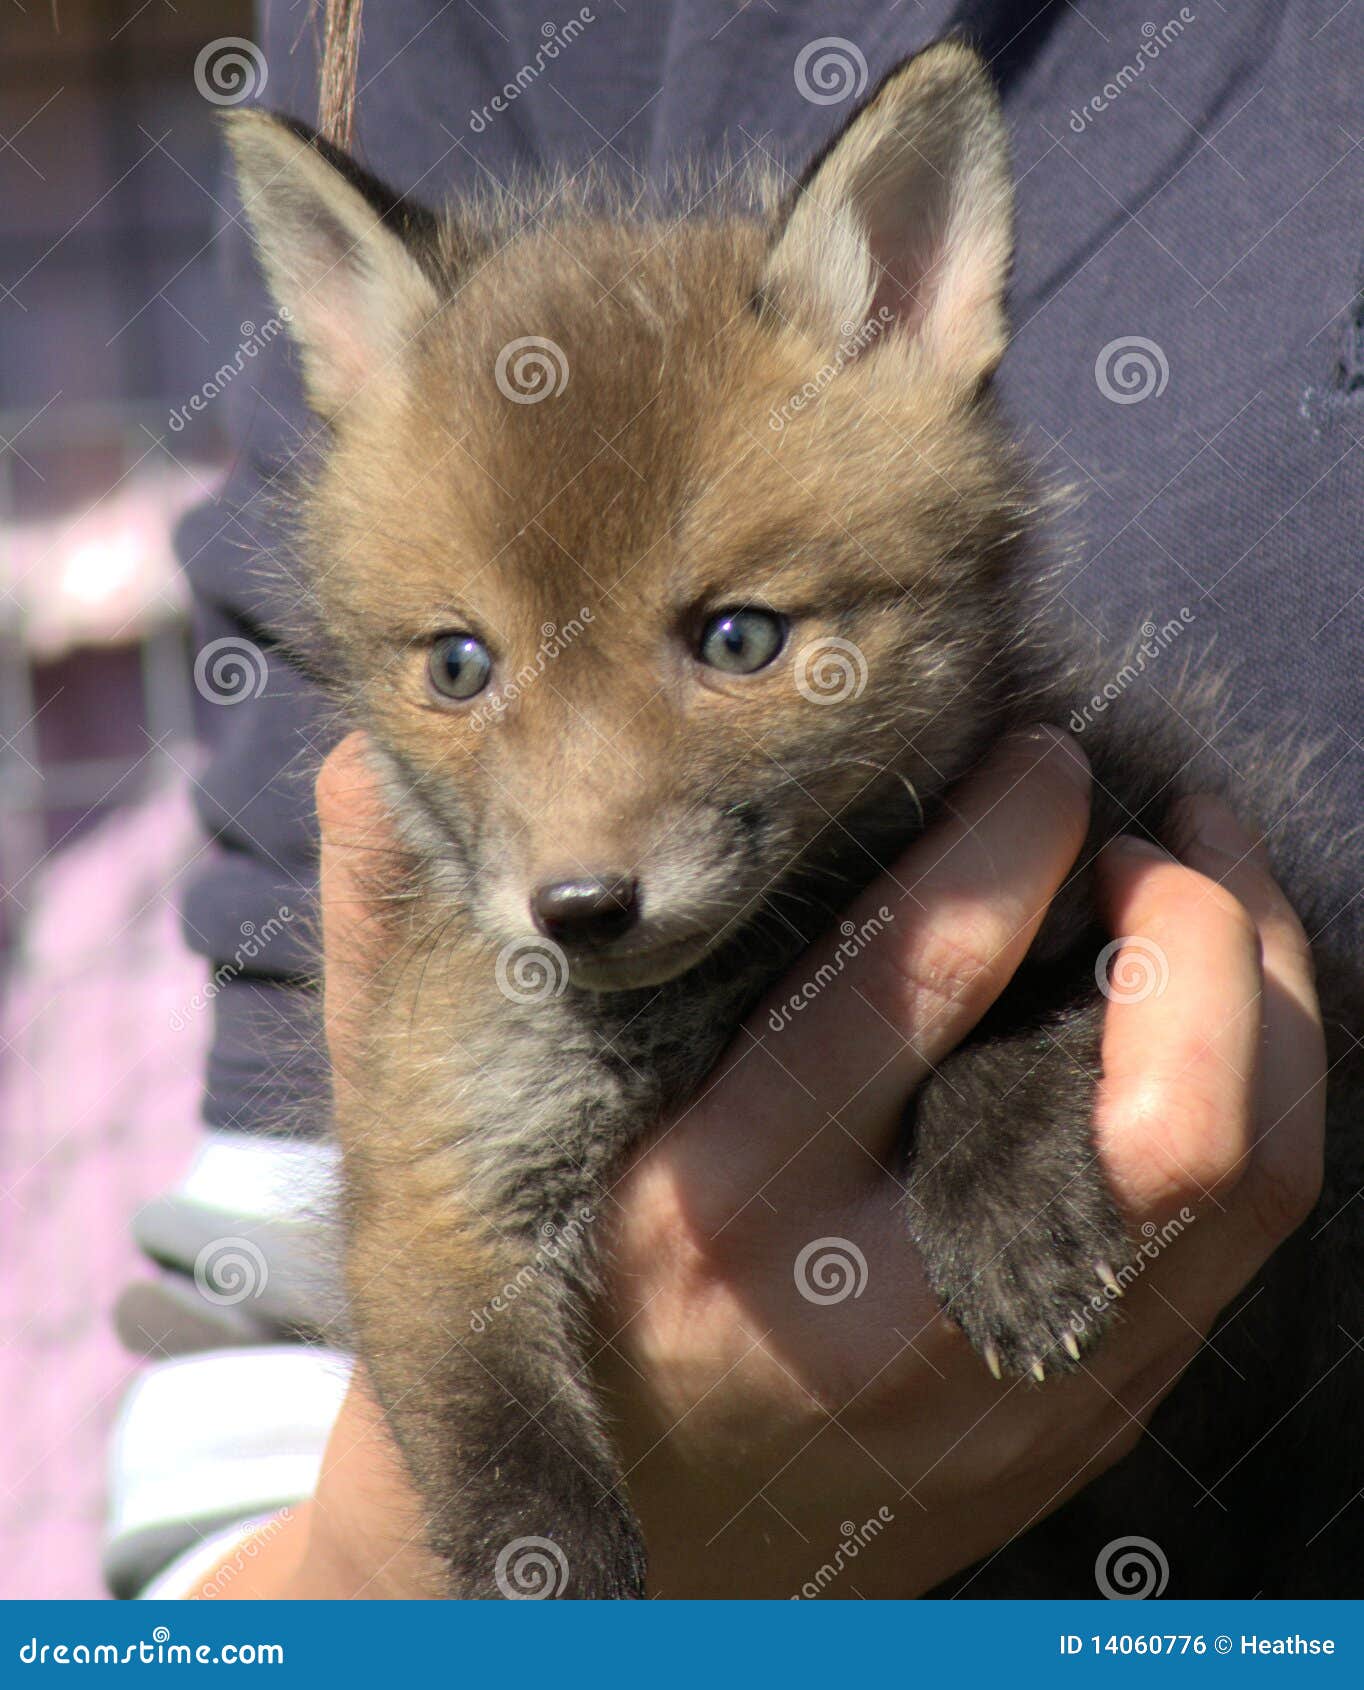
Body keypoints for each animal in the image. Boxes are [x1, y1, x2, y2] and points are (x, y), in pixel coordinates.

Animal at [224, 41, 1362, 1598]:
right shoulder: (438, 1169)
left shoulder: (1107, 850)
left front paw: (1007, 1217)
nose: (581, 907)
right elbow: (507, 1473)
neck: (724, 1001)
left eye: (739, 638)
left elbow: (1016, 1023)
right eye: (458, 666)